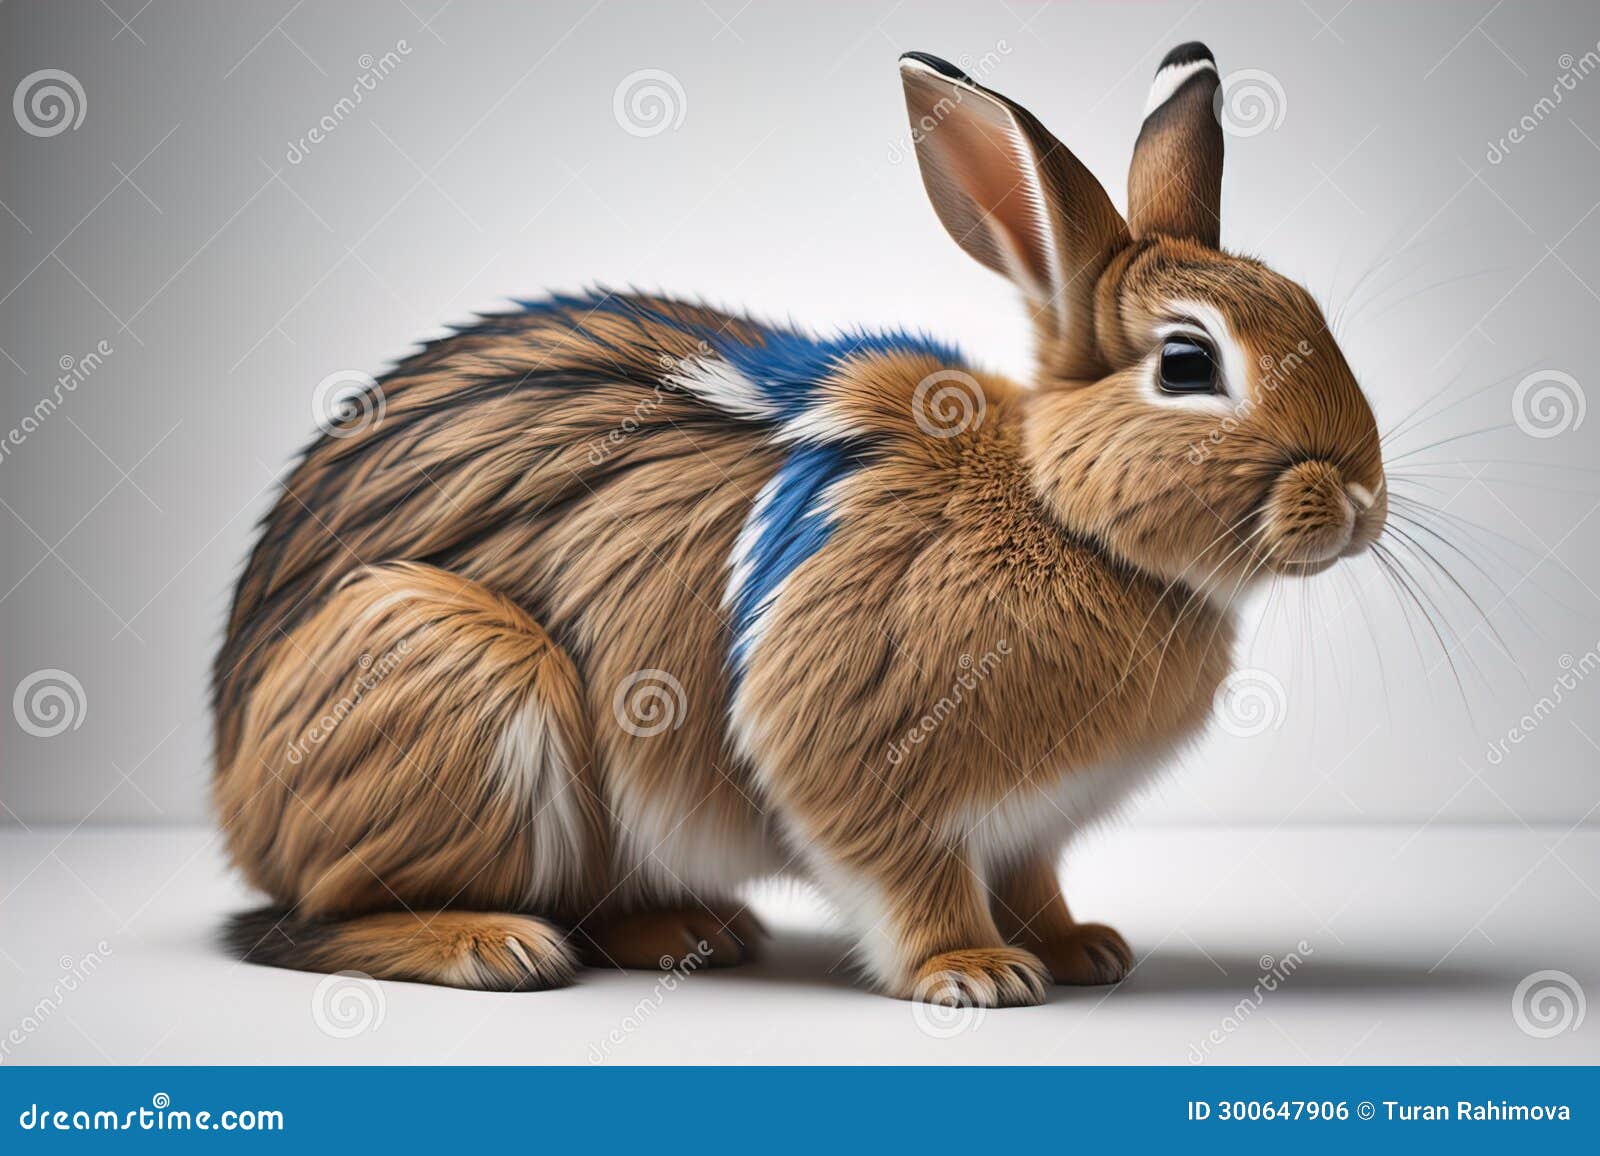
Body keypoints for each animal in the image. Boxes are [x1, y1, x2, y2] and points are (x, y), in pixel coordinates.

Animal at [213, 42, 1386, 1006]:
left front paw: (1080, 949)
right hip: (459, 666)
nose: (1362, 499)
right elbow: (909, 878)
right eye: (1188, 363)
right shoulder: (865, 761)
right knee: (312, 919)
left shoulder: (1029, 830)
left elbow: (1034, 879)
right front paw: (975, 972)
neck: (1057, 513)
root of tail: (235, 783)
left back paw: (689, 930)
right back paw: (489, 945)